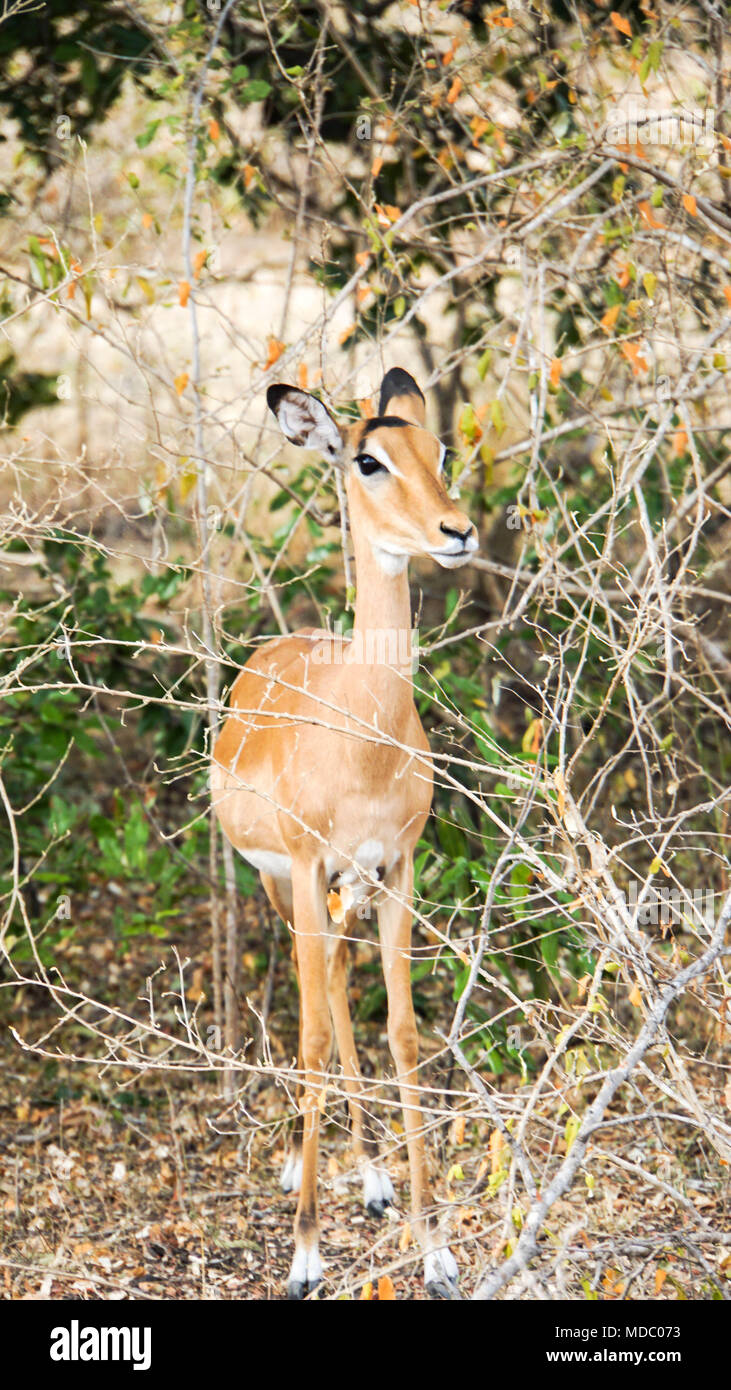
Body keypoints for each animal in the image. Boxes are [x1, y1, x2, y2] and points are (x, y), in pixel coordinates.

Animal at [211, 367, 478, 1299]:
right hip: (280, 882)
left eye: (439, 450)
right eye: (368, 460)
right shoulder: (303, 863)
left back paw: (367, 1176)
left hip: (345, 891)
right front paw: (302, 1256)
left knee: (332, 977)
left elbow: (401, 1030)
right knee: (314, 1000)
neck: (365, 732)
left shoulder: (397, 867)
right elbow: (314, 1033)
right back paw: (307, 1169)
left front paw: (434, 1247)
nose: (456, 531)